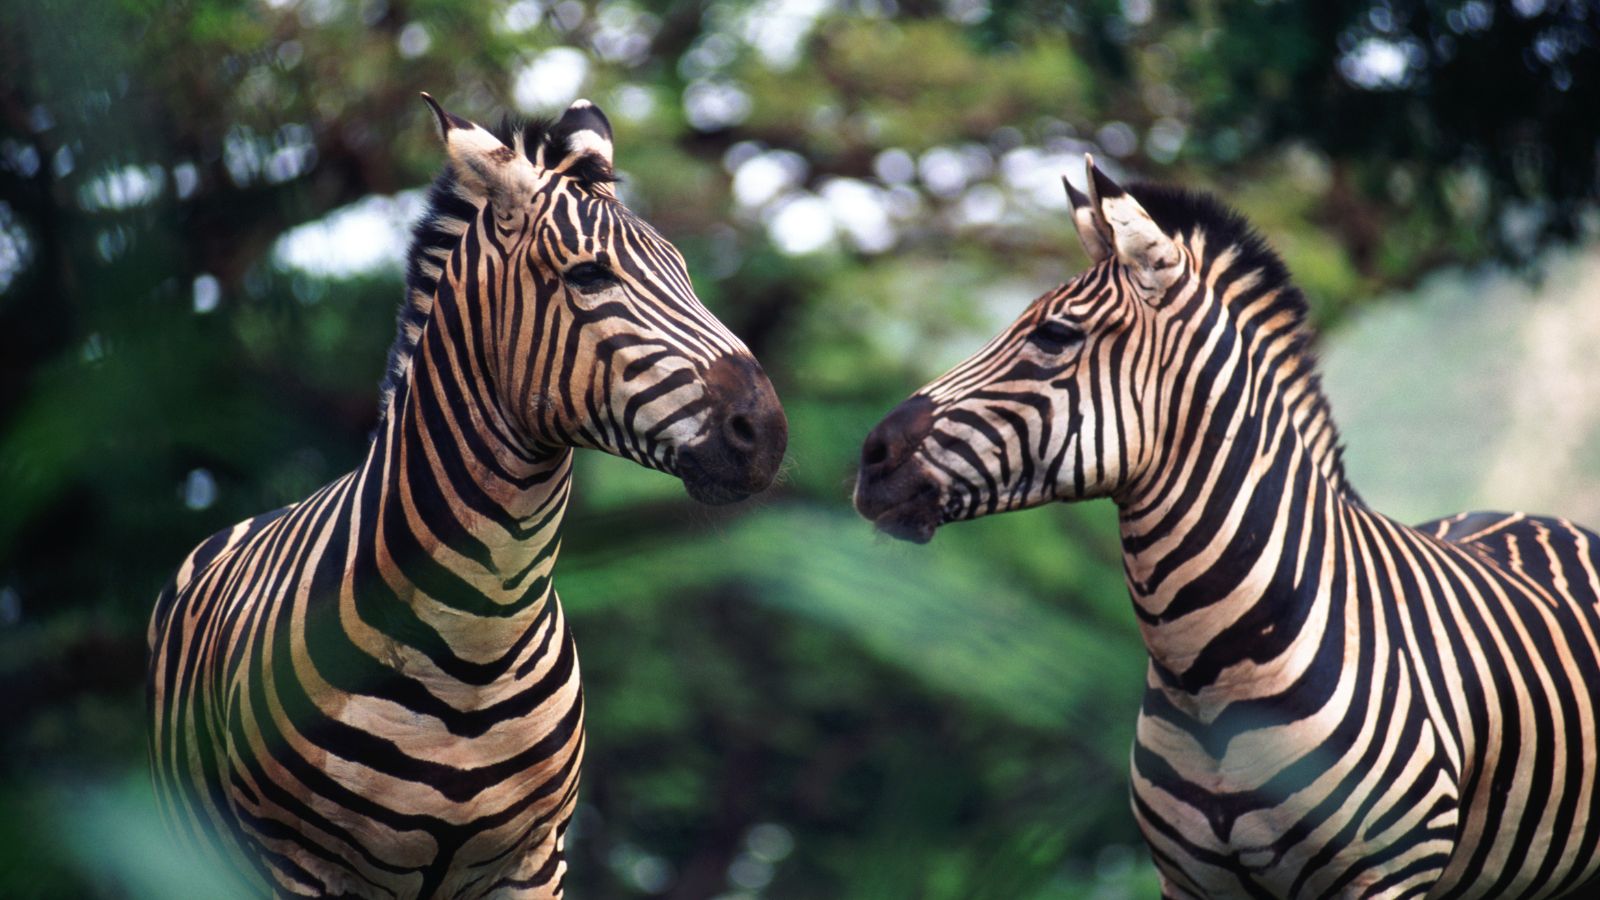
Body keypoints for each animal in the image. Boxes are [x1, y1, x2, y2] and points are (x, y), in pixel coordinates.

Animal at [146, 94, 787, 899]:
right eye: (588, 276)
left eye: (686, 273)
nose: (767, 434)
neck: (475, 636)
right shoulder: (296, 867)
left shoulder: (536, 860)